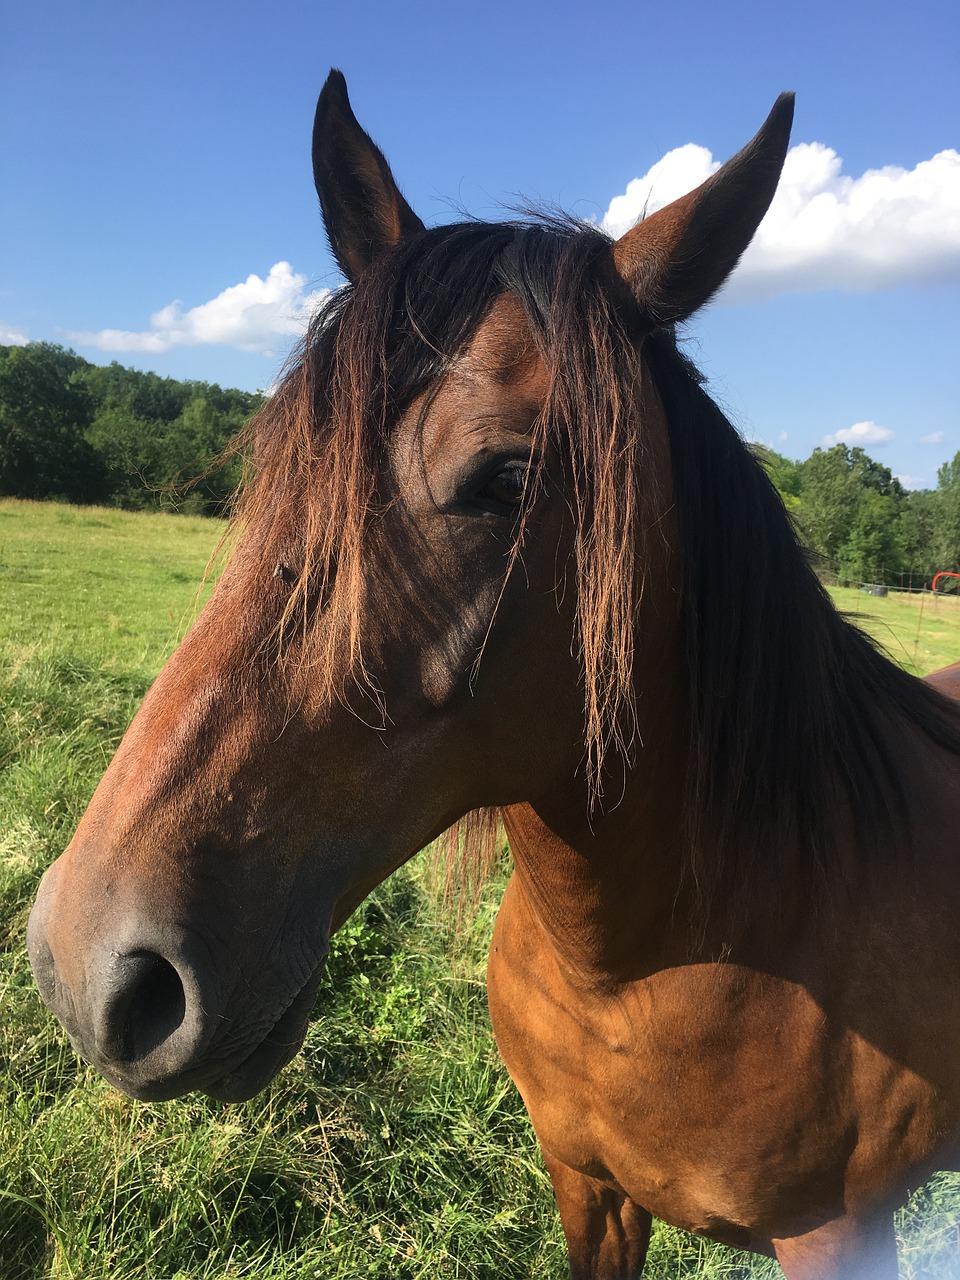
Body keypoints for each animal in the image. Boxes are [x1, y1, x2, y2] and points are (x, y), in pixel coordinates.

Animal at [28, 72, 960, 1278]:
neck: (648, 969)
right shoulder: (588, 1191)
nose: (90, 964)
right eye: (281, 461)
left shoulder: (841, 1235)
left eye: (506, 478)